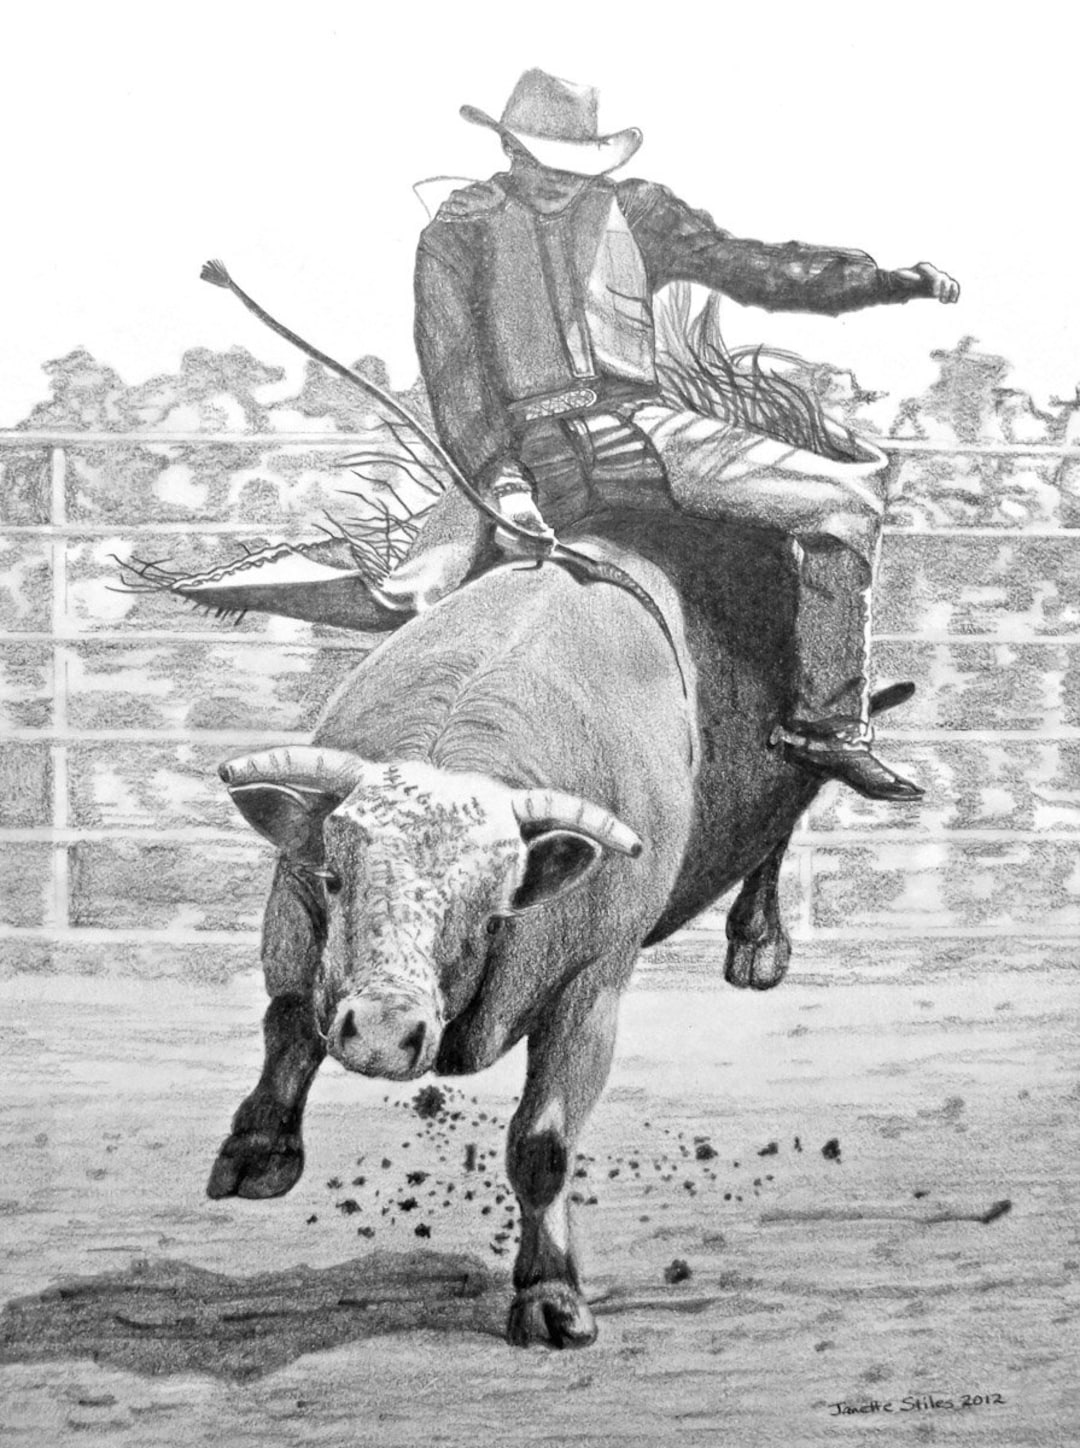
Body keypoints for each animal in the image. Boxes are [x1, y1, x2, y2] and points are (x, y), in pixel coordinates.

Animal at [204, 505, 908, 1348]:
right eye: (337, 880)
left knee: (784, 820)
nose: (380, 1032)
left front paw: (551, 1296)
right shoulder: (293, 909)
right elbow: (286, 1021)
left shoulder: (593, 983)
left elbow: (543, 1143)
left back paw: (758, 943)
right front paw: (256, 1151)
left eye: (493, 908)